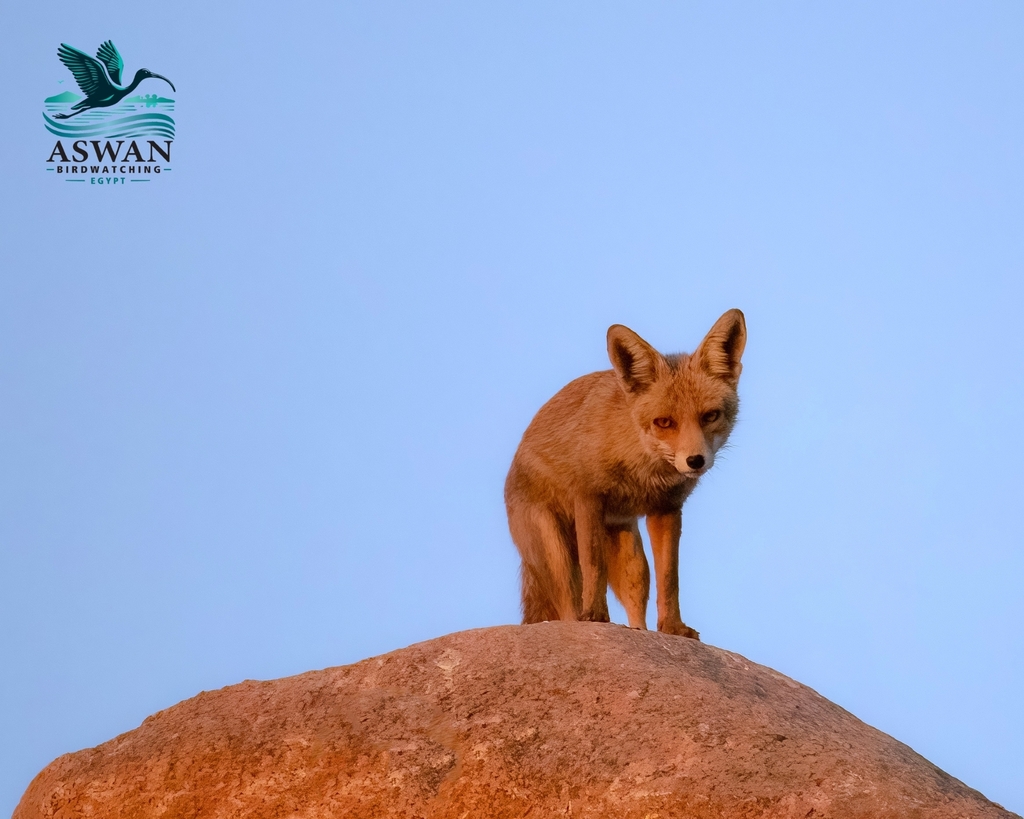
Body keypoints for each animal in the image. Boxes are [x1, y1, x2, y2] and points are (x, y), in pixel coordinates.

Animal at [504, 309, 746, 639]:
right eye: (664, 422)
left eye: (710, 416)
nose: (695, 461)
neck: (643, 468)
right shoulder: (588, 497)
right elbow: (594, 565)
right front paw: (595, 617)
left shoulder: (666, 509)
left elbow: (669, 579)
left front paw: (672, 627)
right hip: (556, 554)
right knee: (568, 606)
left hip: (630, 556)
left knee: (637, 601)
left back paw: (639, 630)